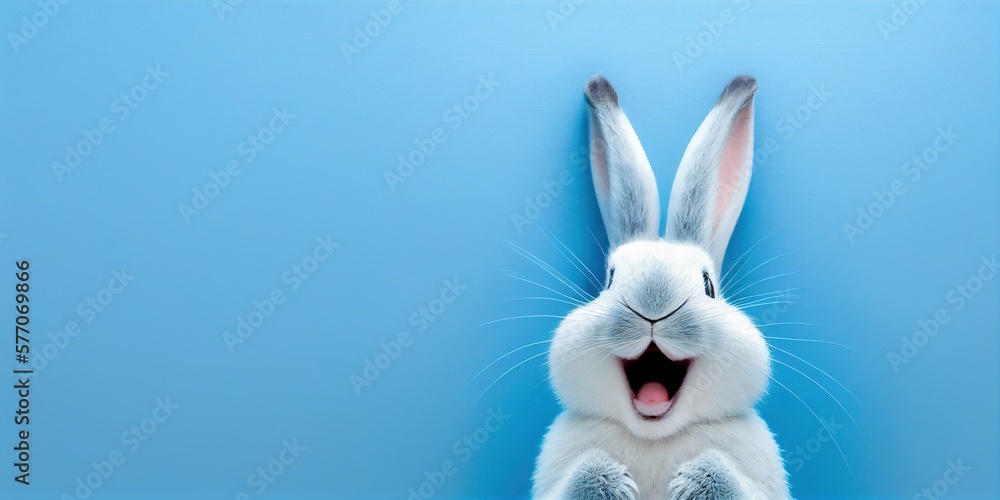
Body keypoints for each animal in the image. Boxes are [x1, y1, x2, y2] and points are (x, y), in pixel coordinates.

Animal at [532, 75, 789, 500]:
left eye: (708, 285)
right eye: (609, 279)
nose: (653, 305)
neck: (655, 434)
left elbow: (725, 476)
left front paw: (692, 479)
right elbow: (583, 474)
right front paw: (613, 480)